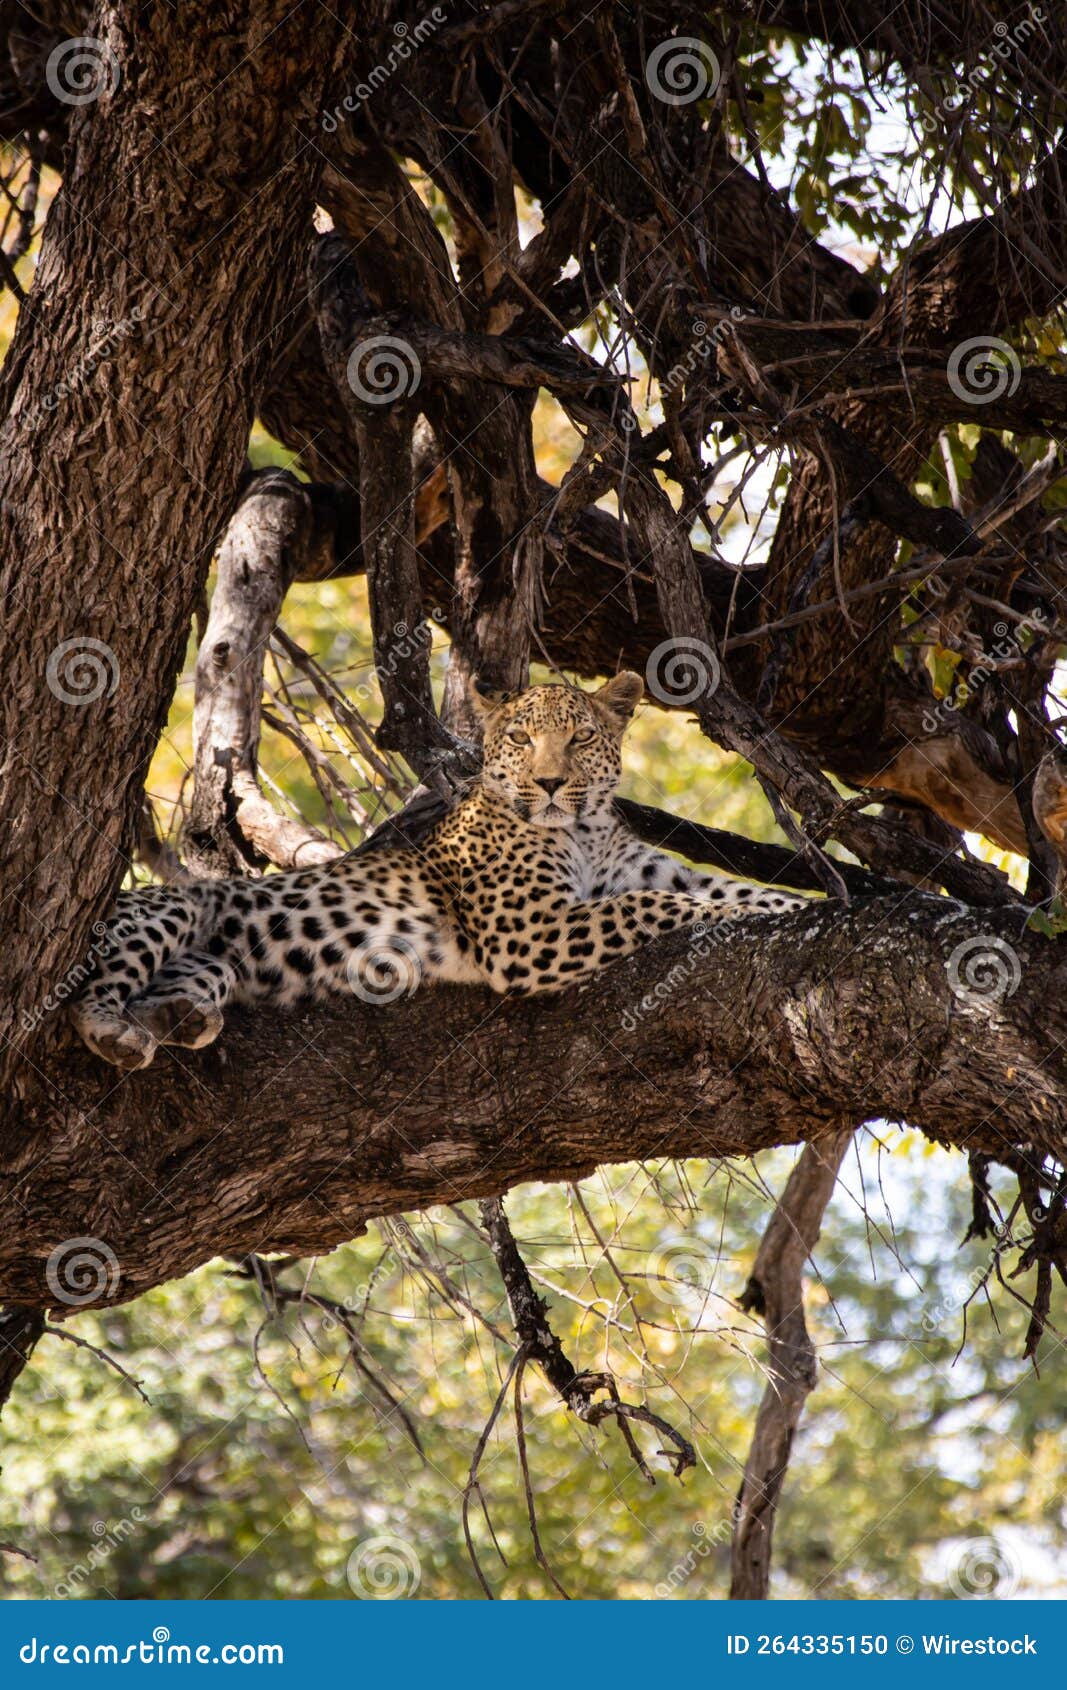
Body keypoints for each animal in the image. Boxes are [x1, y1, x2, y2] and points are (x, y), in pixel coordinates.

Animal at [71, 673, 805, 1070]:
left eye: (581, 737)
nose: (548, 783)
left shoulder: (646, 871)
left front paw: (792, 908)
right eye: (520, 738)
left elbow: (721, 888)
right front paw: (725, 919)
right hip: (169, 909)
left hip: (215, 957)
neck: (586, 828)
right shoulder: (528, 933)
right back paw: (115, 1032)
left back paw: (180, 1017)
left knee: (181, 982)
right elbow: (647, 908)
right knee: (92, 991)